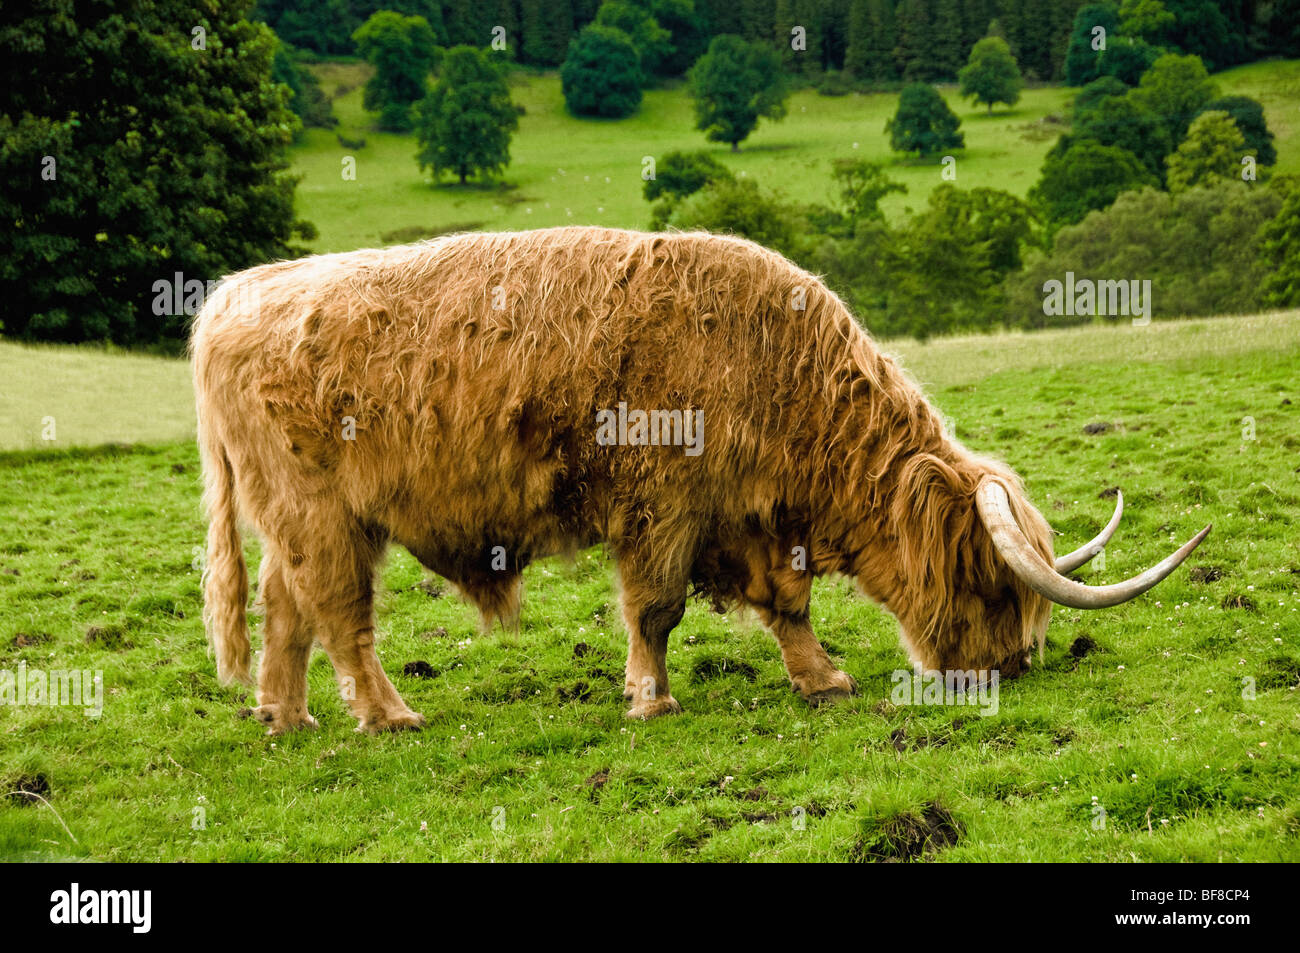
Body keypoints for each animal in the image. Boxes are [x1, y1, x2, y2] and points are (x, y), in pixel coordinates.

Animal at [191, 227, 1209, 733]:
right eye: (994, 582)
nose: (1013, 665)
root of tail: (230, 297)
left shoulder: (749, 517)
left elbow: (786, 604)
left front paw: (822, 678)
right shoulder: (662, 507)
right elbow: (656, 609)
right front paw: (652, 697)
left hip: (299, 518)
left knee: (285, 609)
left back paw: (286, 716)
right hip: (322, 513)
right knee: (338, 615)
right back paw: (388, 713)